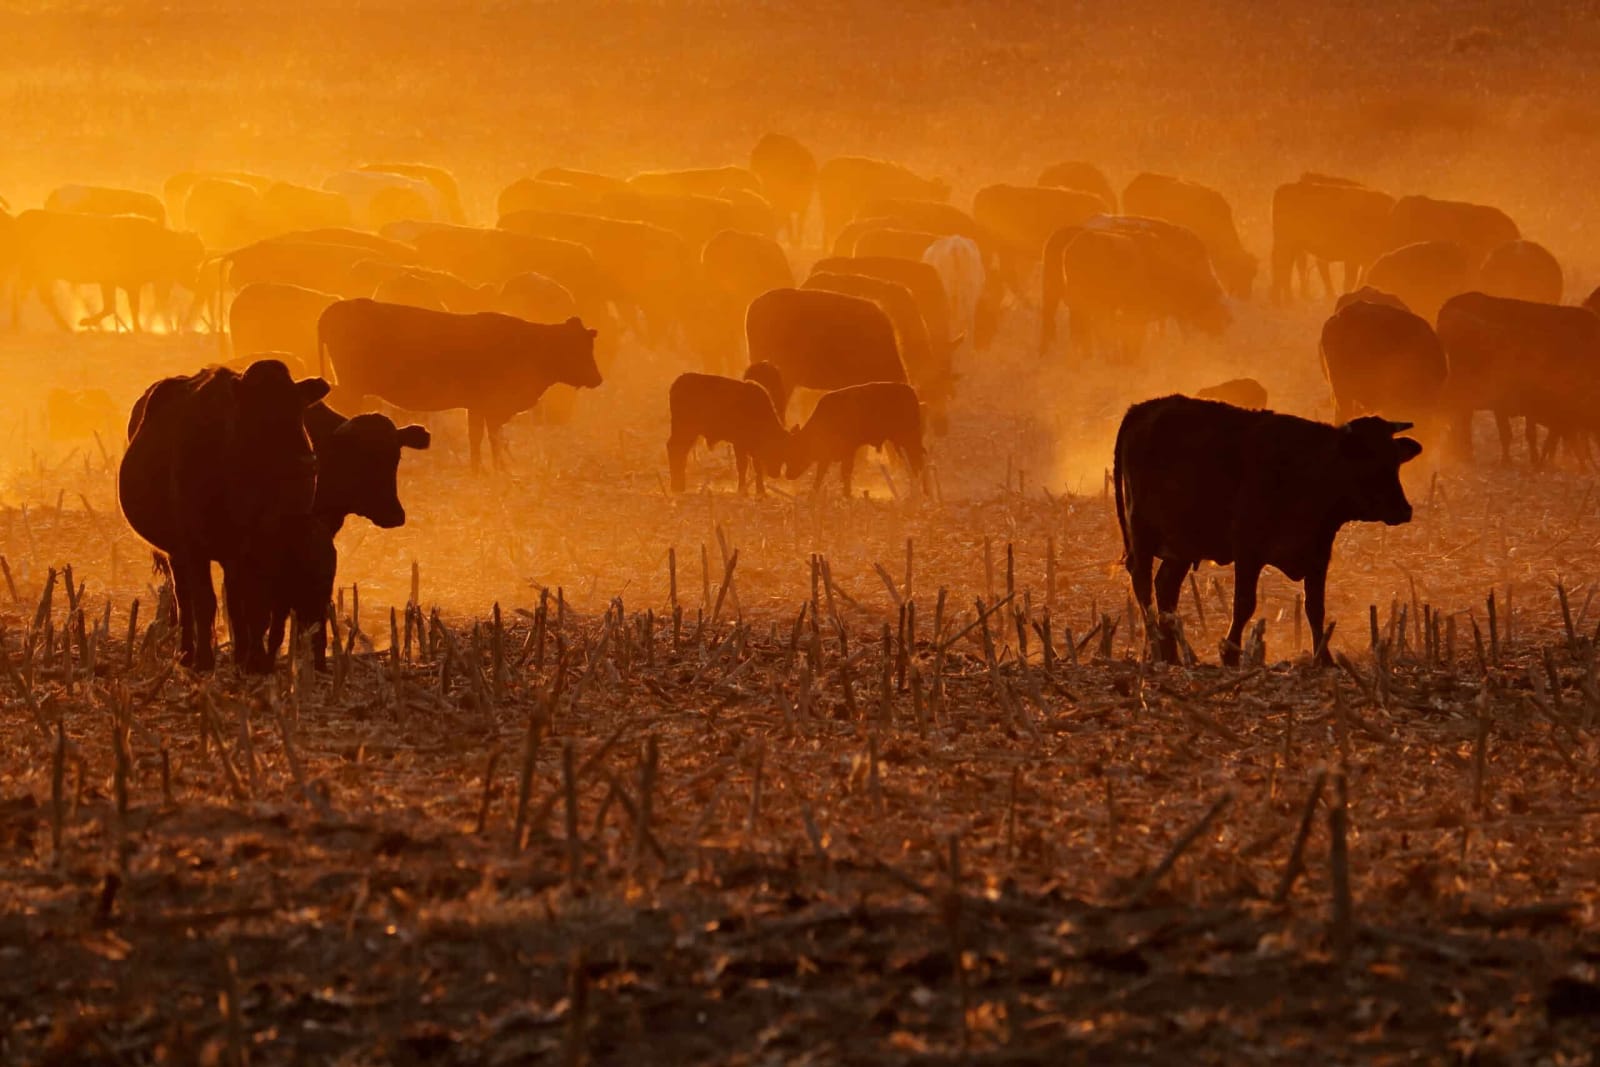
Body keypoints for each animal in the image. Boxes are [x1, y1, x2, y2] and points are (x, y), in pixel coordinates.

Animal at [11, 210, 203, 332]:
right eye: (190, 259)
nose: (195, 280)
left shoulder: (115, 284)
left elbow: (114, 307)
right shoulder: (121, 284)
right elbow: (121, 307)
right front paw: (86, 321)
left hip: (38, 275)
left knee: (34, 297)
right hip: (37, 273)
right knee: (30, 297)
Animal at [118, 358, 330, 672]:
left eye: (299, 409)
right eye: (261, 413)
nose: (306, 462)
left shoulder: (265, 545)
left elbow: (254, 605)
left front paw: (253, 660)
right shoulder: (194, 545)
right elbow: (205, 602)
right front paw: (206, 660)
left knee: (232, 596)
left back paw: (240, 653)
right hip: (178, 553)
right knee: (185, 597)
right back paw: (187, 653)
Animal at [317, 300, 601, 470]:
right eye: (577, 347)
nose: (597, 378)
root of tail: (338, 307)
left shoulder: (479, 408)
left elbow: (480, 437)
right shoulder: (489, 407)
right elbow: (487, 438)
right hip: (351, 388)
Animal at [785, 382, 926, 497]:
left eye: (798, 450)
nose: (788, 474)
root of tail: (911, 391)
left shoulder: (848, 451)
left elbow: (845, 472)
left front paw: (847, 494)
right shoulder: (826, 457)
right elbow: (820, 475)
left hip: (907, 440)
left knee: (916, 462)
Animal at [1115, 395, 1421, 666]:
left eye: (1395, 460)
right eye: (1368, 460)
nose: (1404, 510)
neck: (1310, 472)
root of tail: (1143, 408)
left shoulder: (1318, 554)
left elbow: (1315, 607)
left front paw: (1324, 658)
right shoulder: (1247, 551)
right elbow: (1243, 604)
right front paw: (1230, 653)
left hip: (1182, 546)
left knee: (1165, 588)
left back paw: (1174, 654)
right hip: (1141, 534)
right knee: (1143, 585)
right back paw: (1157, 647)